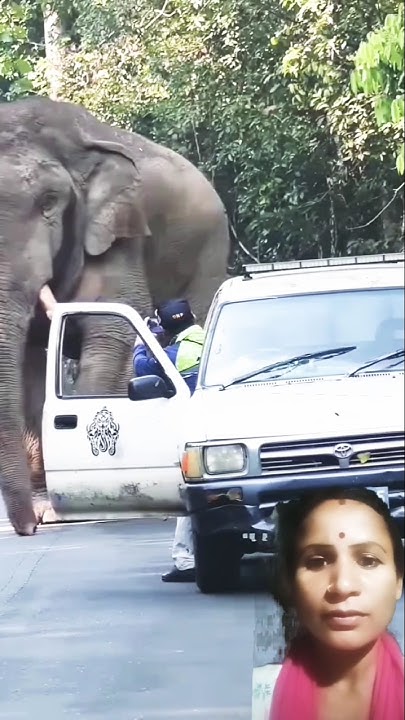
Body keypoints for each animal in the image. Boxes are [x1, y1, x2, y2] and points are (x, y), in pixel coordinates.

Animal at [0, 96, 230, 537]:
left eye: (49, 201)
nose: (28, 530)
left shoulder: (119, 237)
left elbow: (110, 334)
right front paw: (47, 508)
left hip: (209, 254)